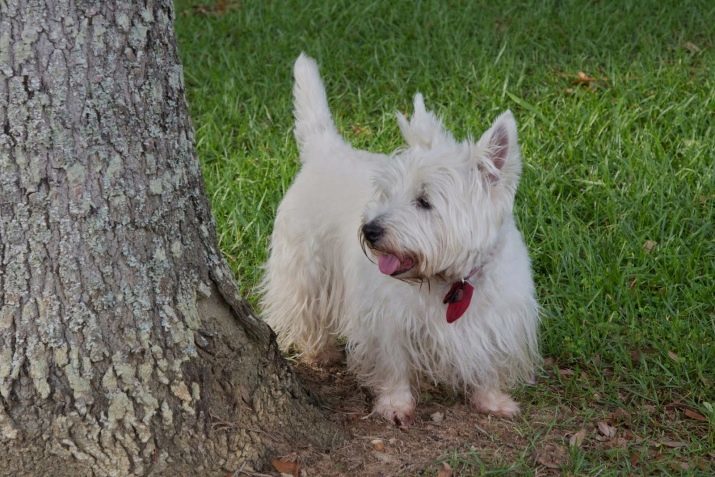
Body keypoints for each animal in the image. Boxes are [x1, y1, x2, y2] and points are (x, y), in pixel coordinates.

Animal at [264, 54, 544, 426]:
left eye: (424, 201)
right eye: (387, 192)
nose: (369, 230)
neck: (450, 281)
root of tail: (325, 150)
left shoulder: (496, 318)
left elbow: (487, 358)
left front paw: (493, 399)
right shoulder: (387, 319)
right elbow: (393, 363)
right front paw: (395, 404)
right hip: (304, 266)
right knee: (304, 308)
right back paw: (319, 352)